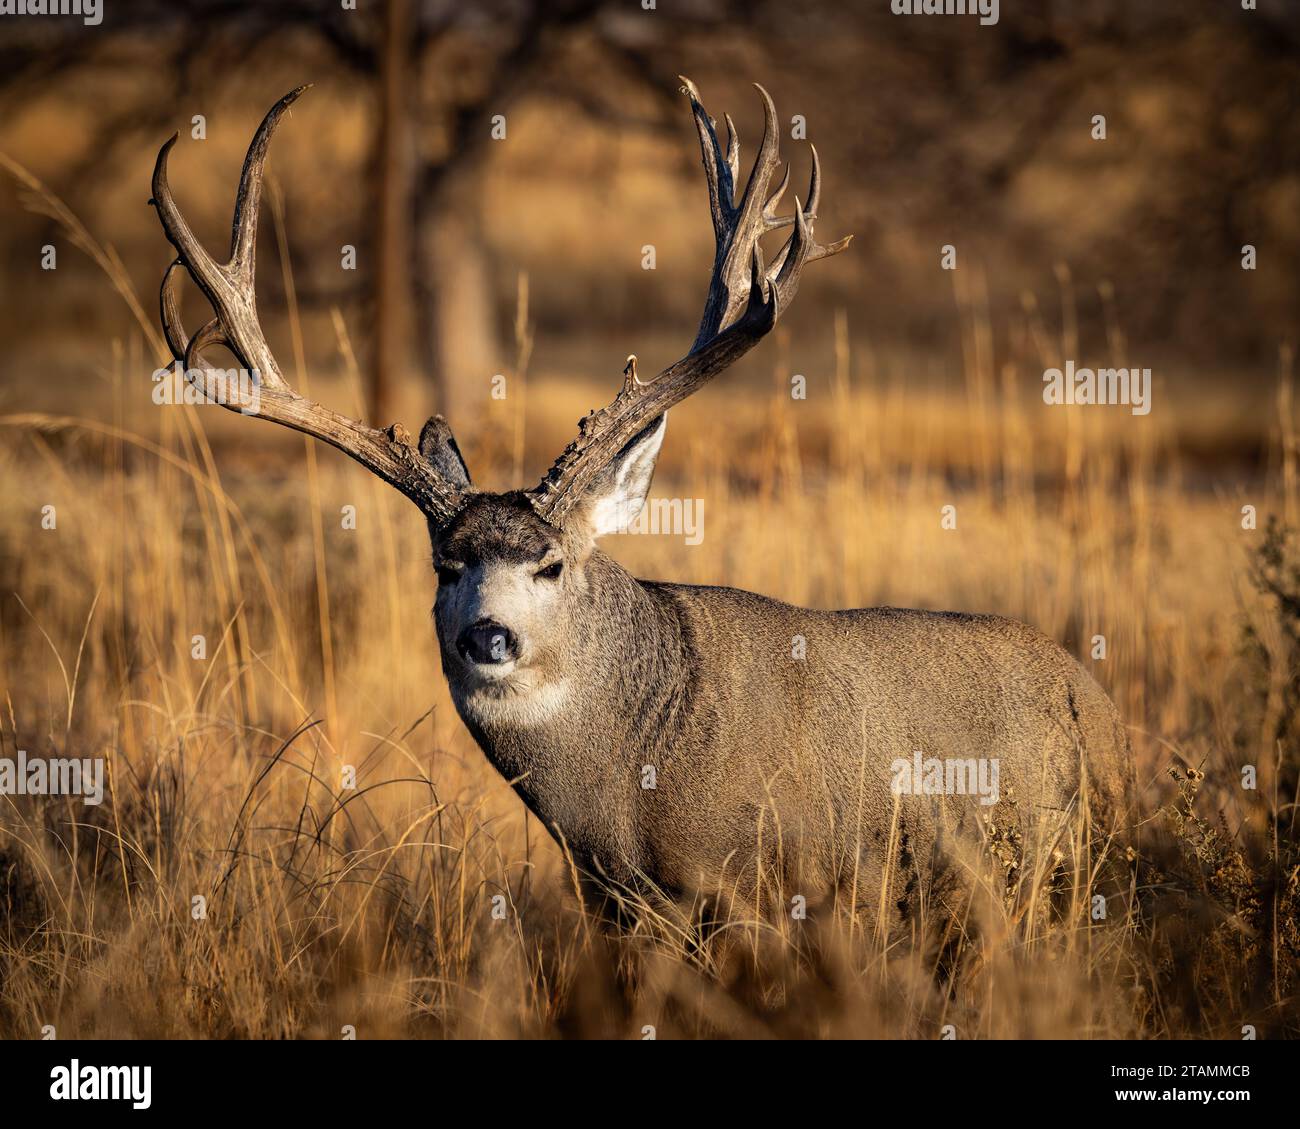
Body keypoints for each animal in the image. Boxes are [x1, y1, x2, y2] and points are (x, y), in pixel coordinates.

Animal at [149, 81, 1130, 935]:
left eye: (550, 562)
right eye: (445, 564)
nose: (486, 636)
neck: (630, 779)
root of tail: (1098, 706)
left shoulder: (760, 883)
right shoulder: (613, 900)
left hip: (1032, 863)